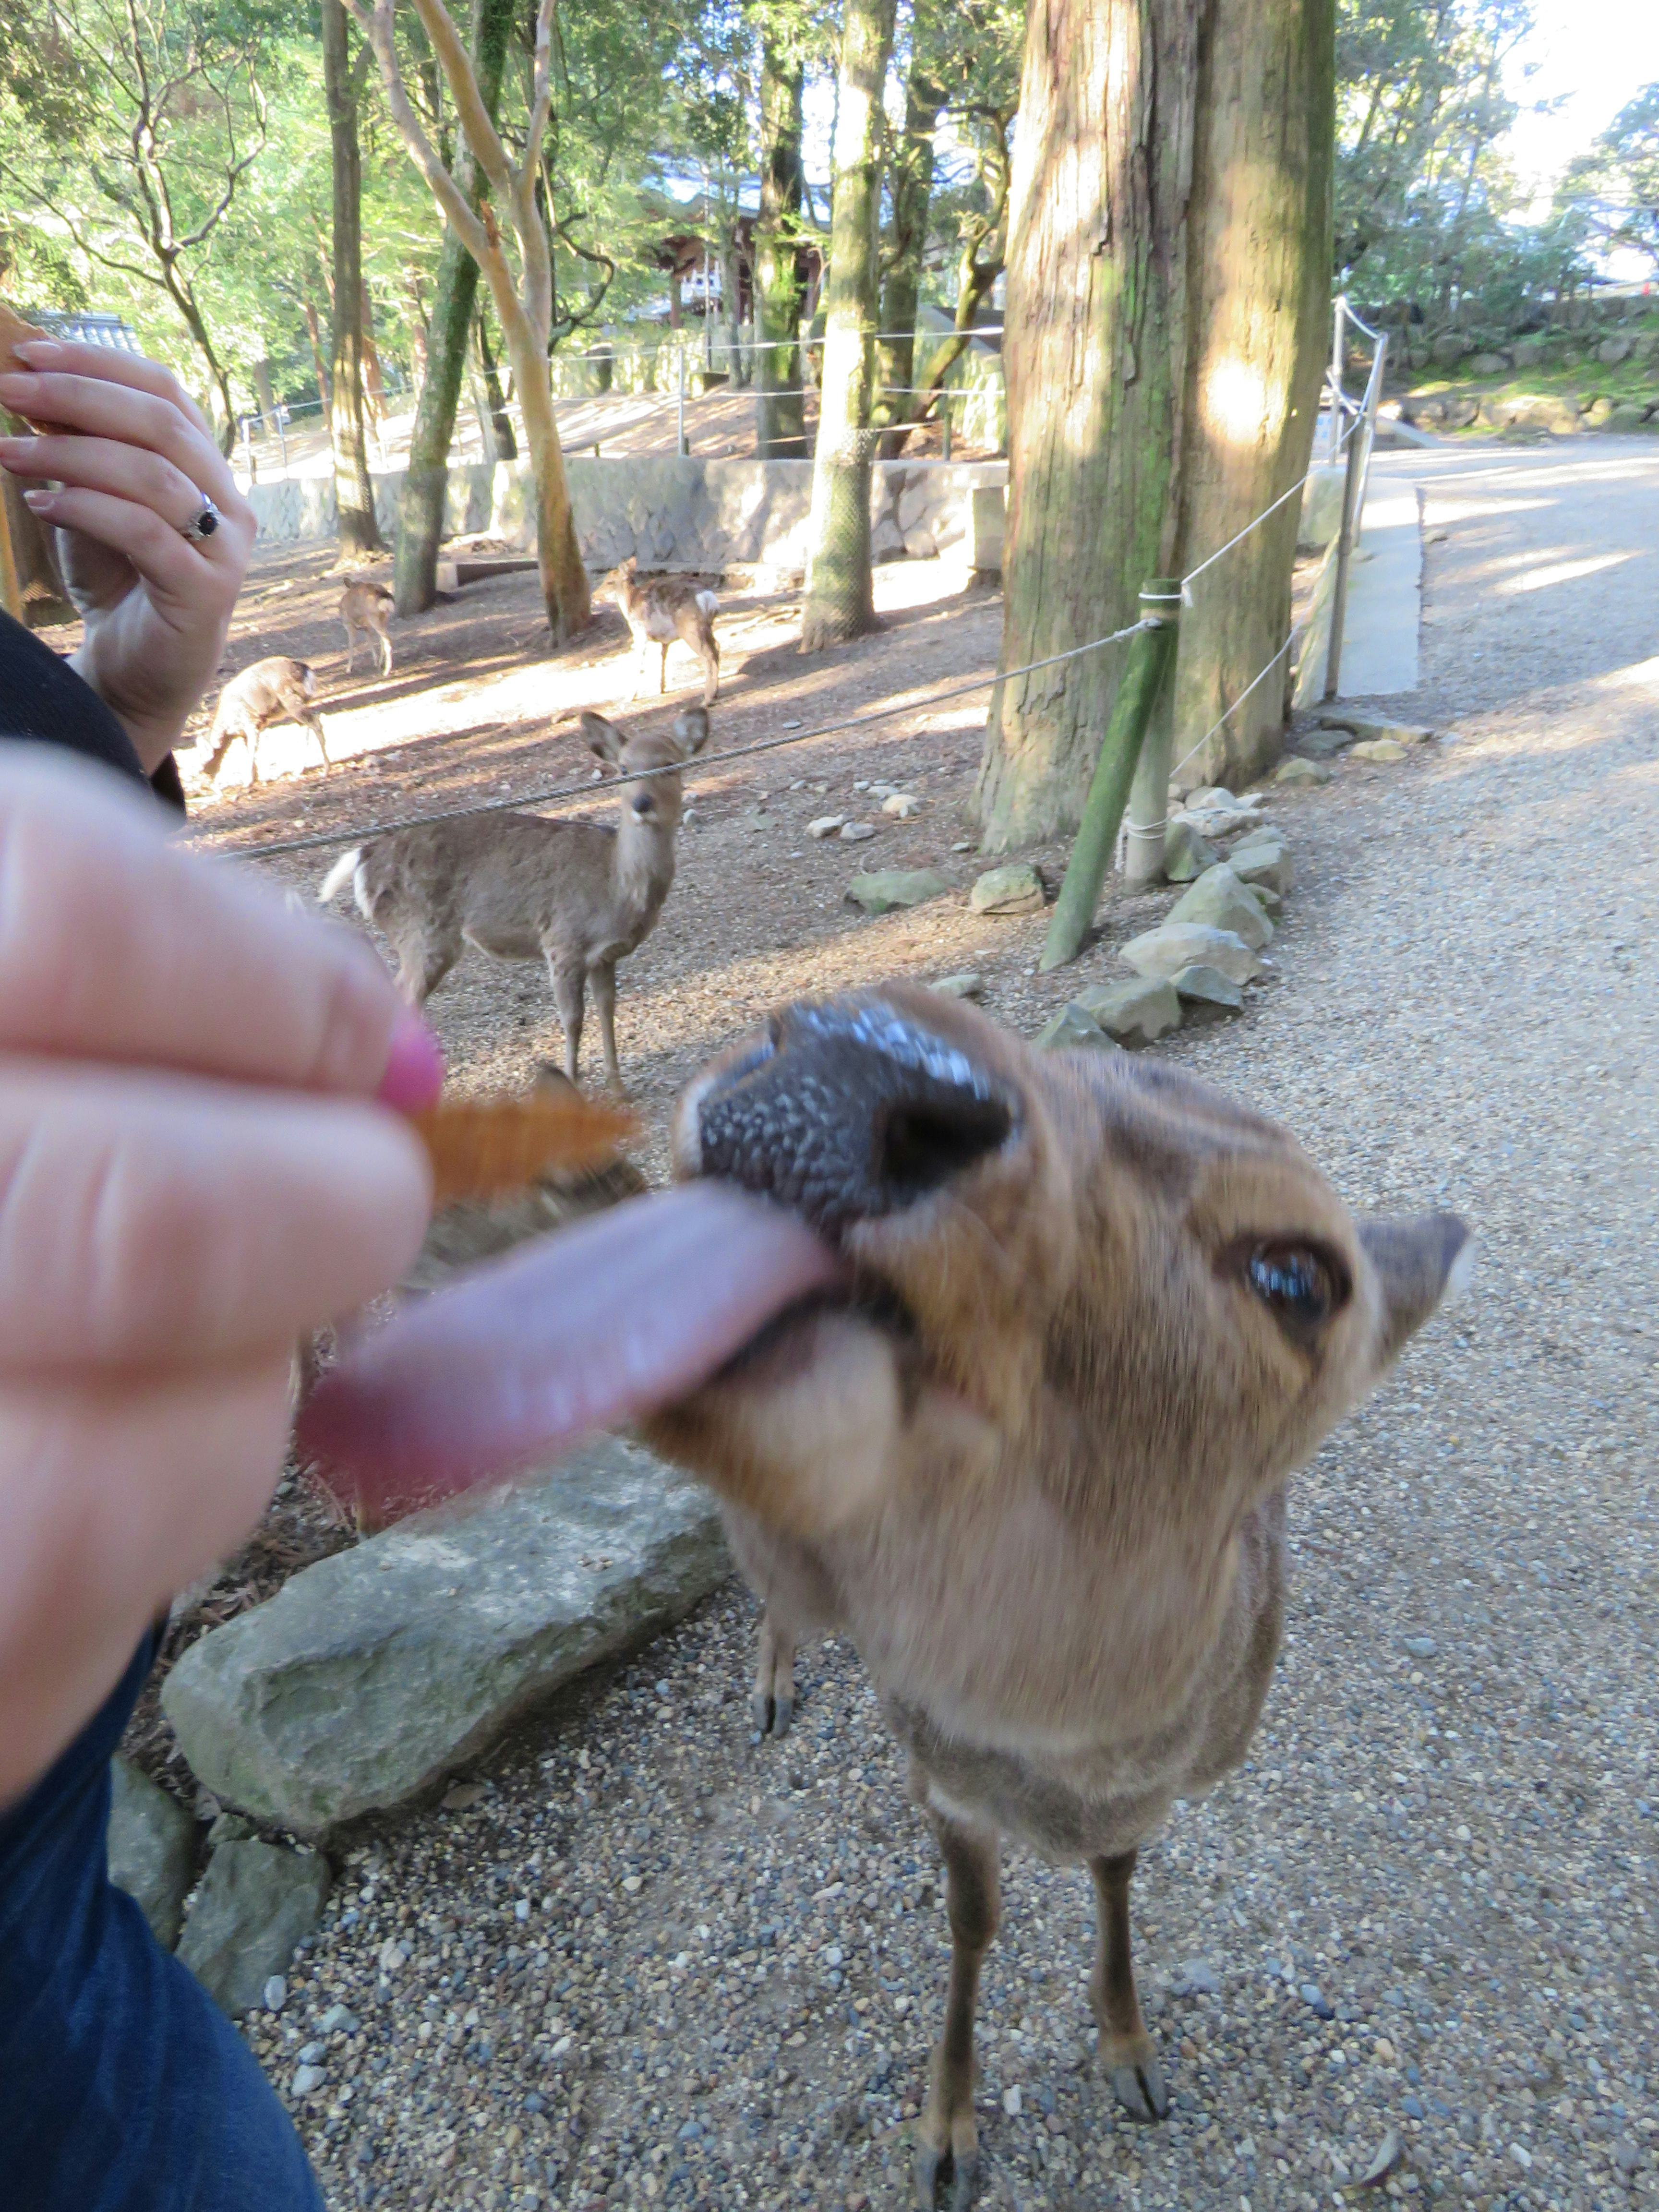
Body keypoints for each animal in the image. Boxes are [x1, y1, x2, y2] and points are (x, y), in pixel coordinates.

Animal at [196, 656, 328, 787]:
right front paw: (256, 779)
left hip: (291, 702)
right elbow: (251, 750)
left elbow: (251, 750)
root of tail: (307, 672)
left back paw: (326, 770)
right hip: (296, 708)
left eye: (202, 755)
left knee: (316, 723)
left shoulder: (251, 722)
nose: (203, 776)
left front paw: (248, 782)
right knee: (306, 728)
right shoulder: (251, 728)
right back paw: (297, 772)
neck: (226, 727)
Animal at [317, 708, 709, 1091]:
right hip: (421, 933)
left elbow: (607, 1009)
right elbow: (572, 1019)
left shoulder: (604, 956)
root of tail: (363, 857)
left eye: (670, 764)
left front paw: (618, 1090)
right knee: (403, 997)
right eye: (624, 769)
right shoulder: (562, 941)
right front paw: (572, 1085)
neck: (616, 885)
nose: (642, 803)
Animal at [339, 577, 395, 677]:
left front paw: (348, 669)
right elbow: (370, 641)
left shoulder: (349, 626)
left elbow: (351, 646)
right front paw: (376, 662)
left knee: (387, 642)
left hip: (374, 619)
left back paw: (386, 671)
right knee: (383, 640)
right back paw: (381, 665)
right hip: (384, 619)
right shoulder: (367, 628)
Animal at [608, 556, 720, 706]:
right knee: (717, 648)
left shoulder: (641, 634)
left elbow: (639, 663)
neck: (630, 605)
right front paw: (661, 689)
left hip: (691, 629)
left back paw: (707, 700)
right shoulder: (664, 640)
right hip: (706, 627)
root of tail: (708, 598)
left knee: (708, 655)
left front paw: (630, 697)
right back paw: (715, 694)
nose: (596, 594)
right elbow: (662, 658)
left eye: (609, 581)